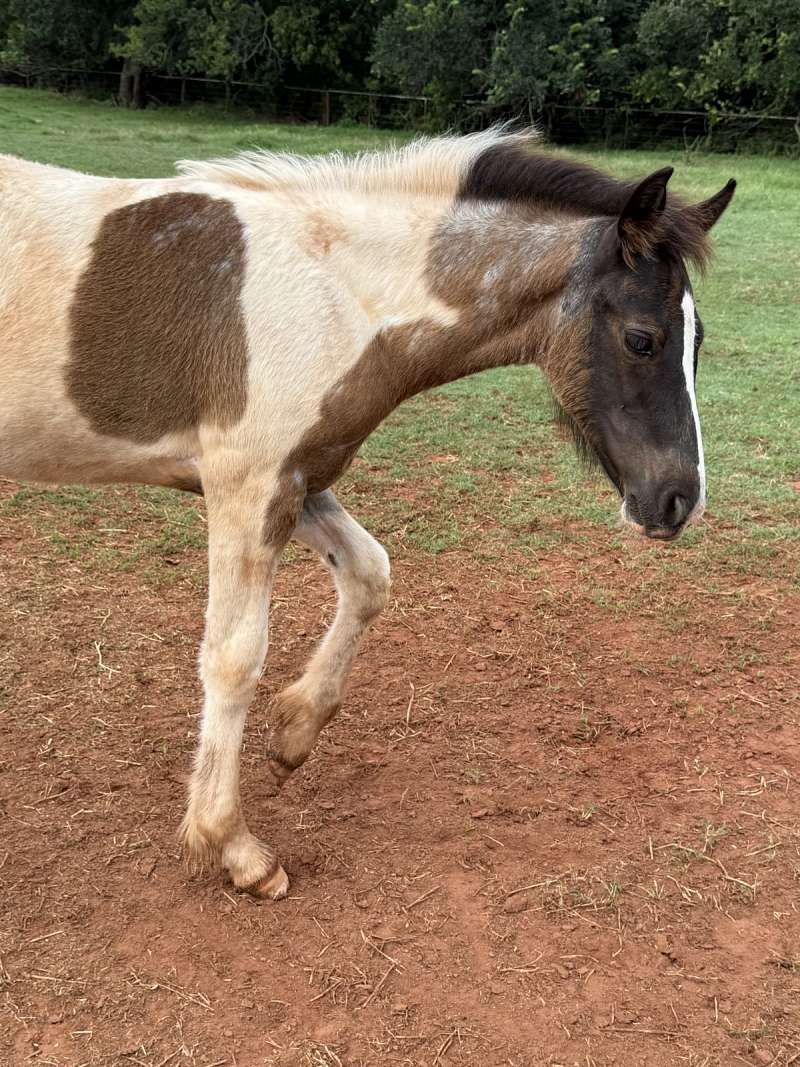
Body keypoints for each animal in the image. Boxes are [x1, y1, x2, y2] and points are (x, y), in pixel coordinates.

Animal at [0, 128, 735, 899]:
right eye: (642, 338)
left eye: (699, 339)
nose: (679, 500)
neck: (332, 293)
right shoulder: (247, 485)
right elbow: (234, 658)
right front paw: (233, 846)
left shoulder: (300, 478)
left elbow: (370, 574)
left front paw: (294, 730)